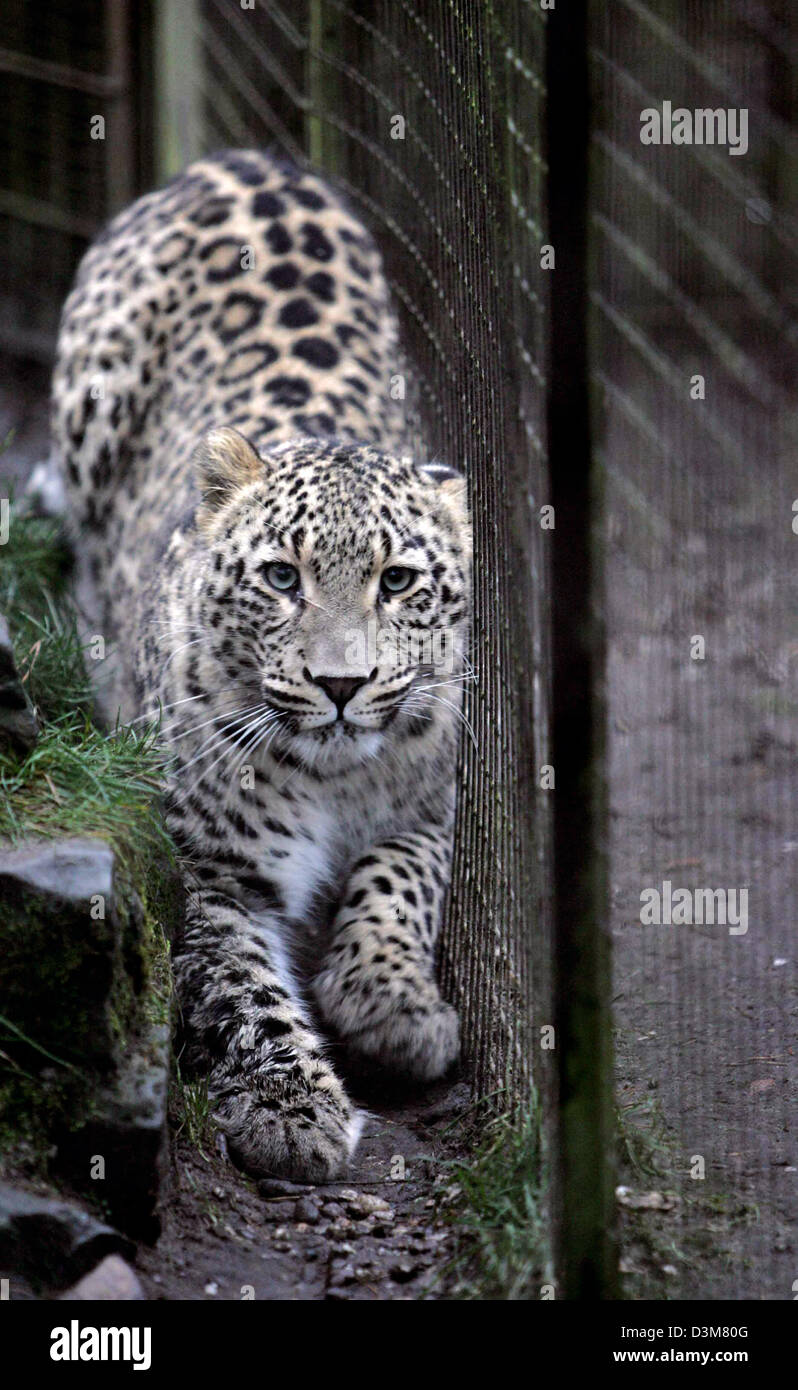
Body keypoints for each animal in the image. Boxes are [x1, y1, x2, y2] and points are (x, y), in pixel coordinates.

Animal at [47, 149, 472, 1183]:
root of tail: (243, 158)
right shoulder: (203, 864)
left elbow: (400, 885)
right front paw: (292, 1105)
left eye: (398, 581)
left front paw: (396, 1009)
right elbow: (240, 983)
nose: (342, 686)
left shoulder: (430, 806)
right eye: (283, 576)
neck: (331, 779)